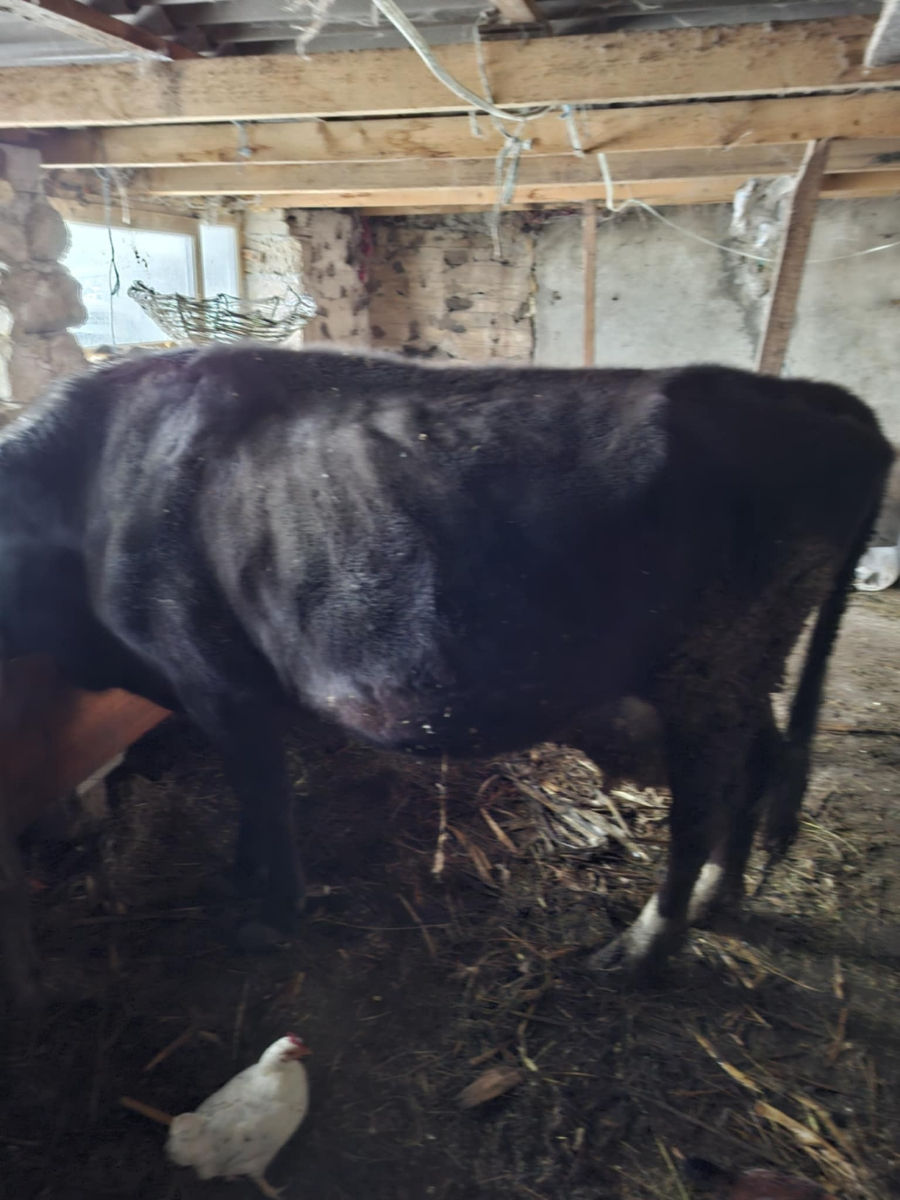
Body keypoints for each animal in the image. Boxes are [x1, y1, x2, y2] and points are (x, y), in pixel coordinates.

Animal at [0, 344, 892, 1006]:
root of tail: (808, 396)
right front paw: (242, 879)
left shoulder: (219, 681)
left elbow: (266, 800)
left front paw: (270, 914)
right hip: (743, 672)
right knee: (761, 761)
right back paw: (719, 896)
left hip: (709, 670)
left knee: (707, 801)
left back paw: (642, 949)